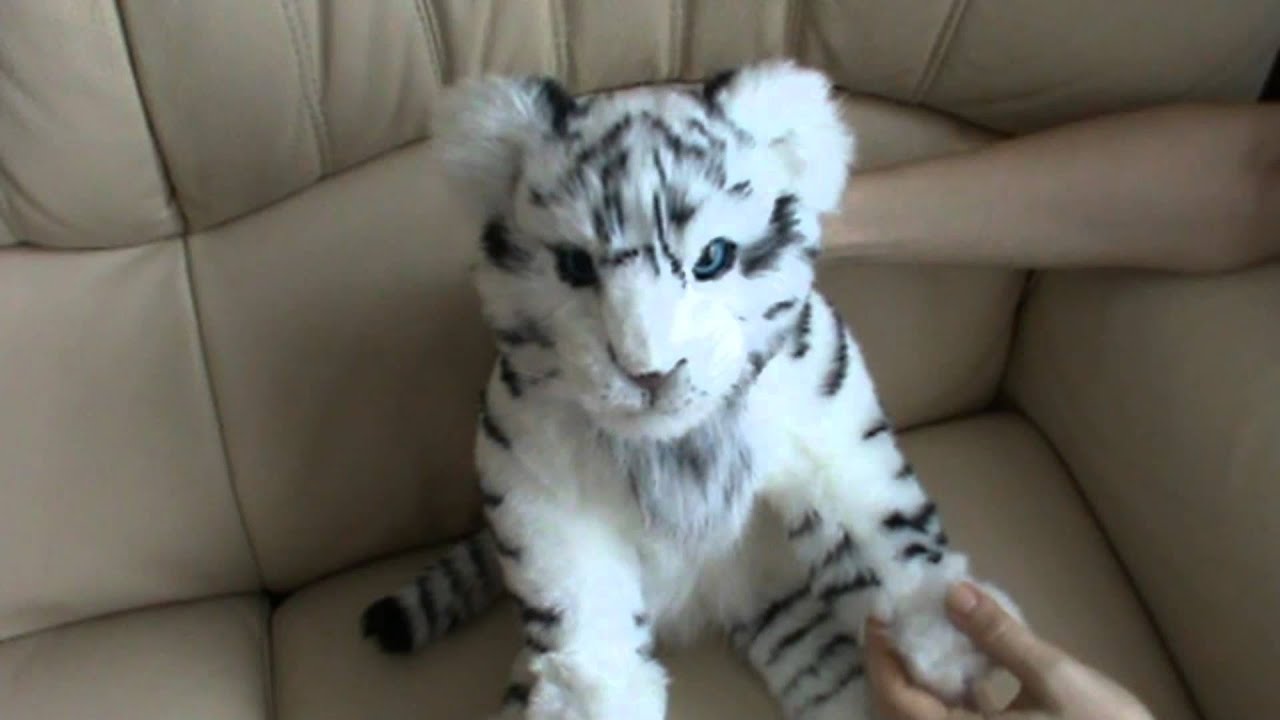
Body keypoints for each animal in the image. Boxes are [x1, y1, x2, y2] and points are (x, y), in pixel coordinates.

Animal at [359, 59, 1021, 720]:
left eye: (712, 258)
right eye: (576, 265)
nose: (649, 371)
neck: (676, 445)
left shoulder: (832, 435)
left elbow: (887, 534)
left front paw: (959, 645)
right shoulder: (541, 489)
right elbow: (584, 626)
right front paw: (593, 704)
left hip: (788, 606)